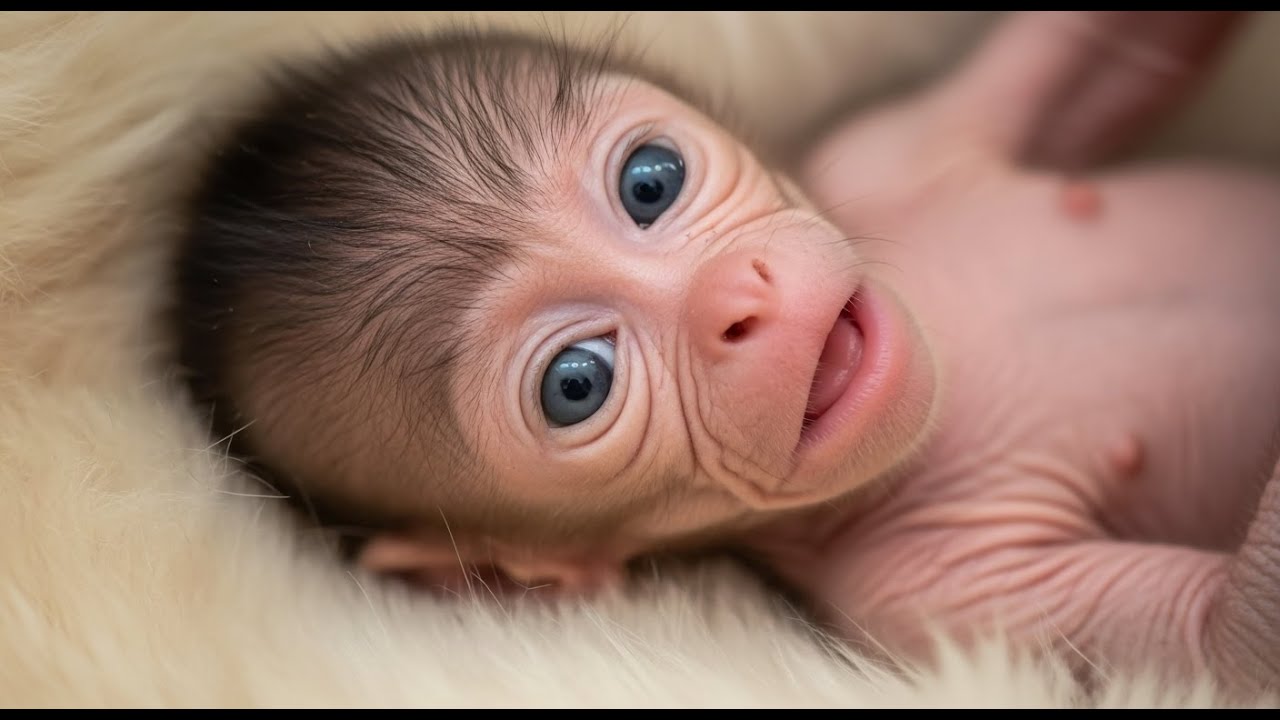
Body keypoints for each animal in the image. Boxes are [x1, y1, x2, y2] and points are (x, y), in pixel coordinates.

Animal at [172, 11, 1279, 700]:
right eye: (576, 384)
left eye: (651, 181)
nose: (732, 303)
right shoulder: (935, 604)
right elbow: (1222, 648)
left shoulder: (876, 153)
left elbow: (1097, 46)